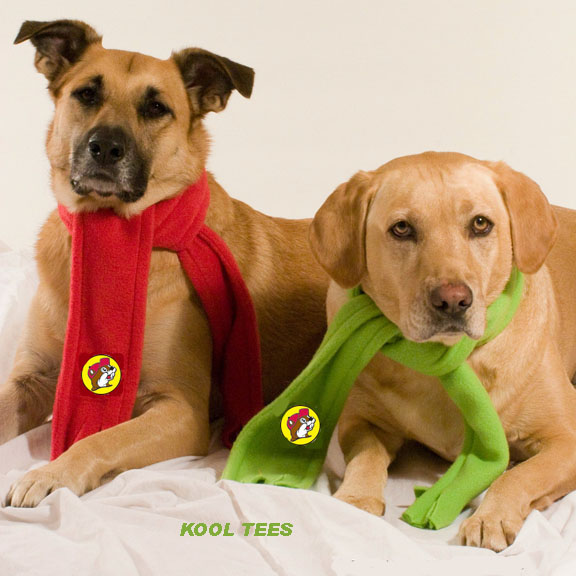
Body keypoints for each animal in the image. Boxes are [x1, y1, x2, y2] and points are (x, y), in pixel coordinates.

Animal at [3, 20, 328, 508]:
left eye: (156, 108)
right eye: (87, 94)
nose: (105, 148)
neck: (116, 234)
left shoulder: (181, 408)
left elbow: (99, 438)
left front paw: (52, 473)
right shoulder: (35, 379)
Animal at [312, 151, 576, 552]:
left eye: (481, 224)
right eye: (402, 228)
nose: (453, 301)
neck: (447, 358)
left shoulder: (566, 438)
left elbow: (517, 476)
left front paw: (491, 517)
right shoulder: (361, 421)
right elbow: (366, 457)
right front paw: (357, 497)